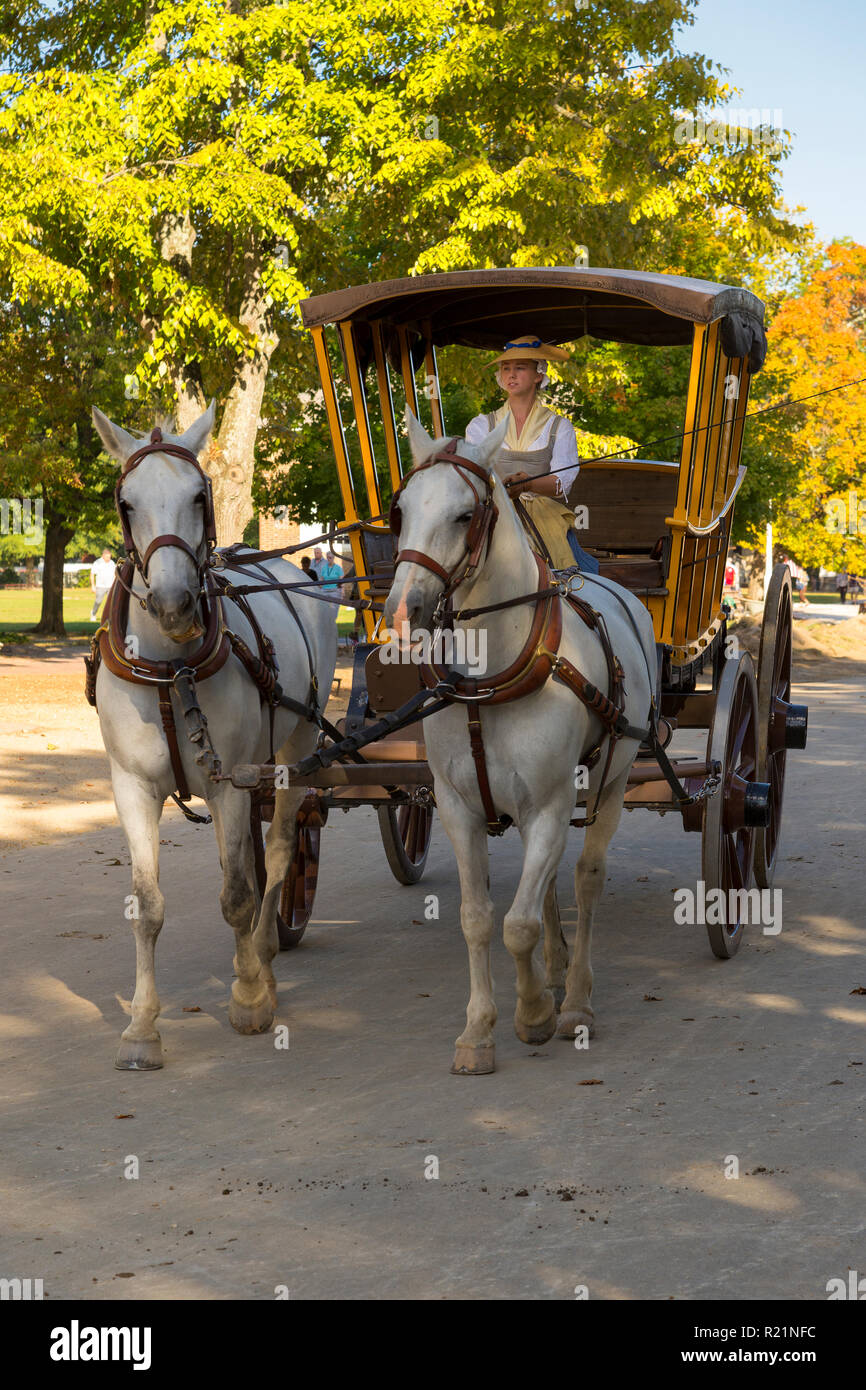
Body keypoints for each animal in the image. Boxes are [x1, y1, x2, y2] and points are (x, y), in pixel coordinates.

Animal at [90, 403, 336, 1070]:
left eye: (199, 496)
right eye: (126, 502)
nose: (175, 603)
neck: (170, 666)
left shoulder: (229, 783)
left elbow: (237, 894)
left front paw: (249, 998)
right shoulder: (131, 787)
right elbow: (147, 905)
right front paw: (141, 1029)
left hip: (296, 749)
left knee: (276, 852)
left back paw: (264, 958)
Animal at [383, 410, 657, 1075]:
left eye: (464, 514)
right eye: (400, 509)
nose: (401, 613)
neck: (491, 677)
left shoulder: (550, 805)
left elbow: (519, 926)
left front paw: (532, 1014)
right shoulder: (457, 807)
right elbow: (480, 919)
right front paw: (478, 1030)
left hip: (612, 780)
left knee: (585, 878)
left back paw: (575, 998)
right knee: (552, 882)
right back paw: (556, 974)